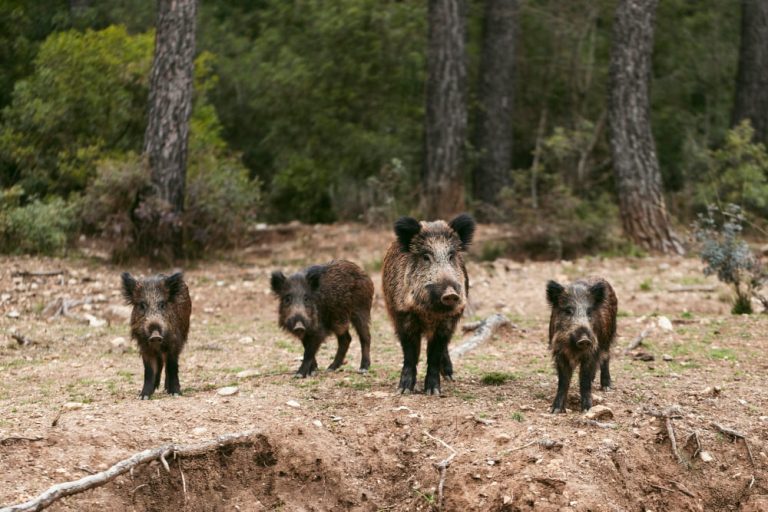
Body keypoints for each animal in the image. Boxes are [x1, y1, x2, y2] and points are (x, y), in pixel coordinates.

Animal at [381, 214, 475, 395]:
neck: (429, 313)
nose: (450, 294)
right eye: (425, 256)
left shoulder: (447, 321)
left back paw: (450, 376)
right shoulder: (403, 315)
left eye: (451, 255)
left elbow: (434, 354)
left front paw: (433, 391)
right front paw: (403, 390)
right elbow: (410, 354)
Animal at [546, 277, 618, 413]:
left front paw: (587, 409)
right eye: (568, 311)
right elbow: (563, 381)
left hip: (608, 336)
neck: (575, 349)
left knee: (606, 356)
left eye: (589, 311)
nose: (584, 339)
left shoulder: (592, 351)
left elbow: (584, 379)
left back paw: (606, 387)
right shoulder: (560, 352)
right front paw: (555, 410)